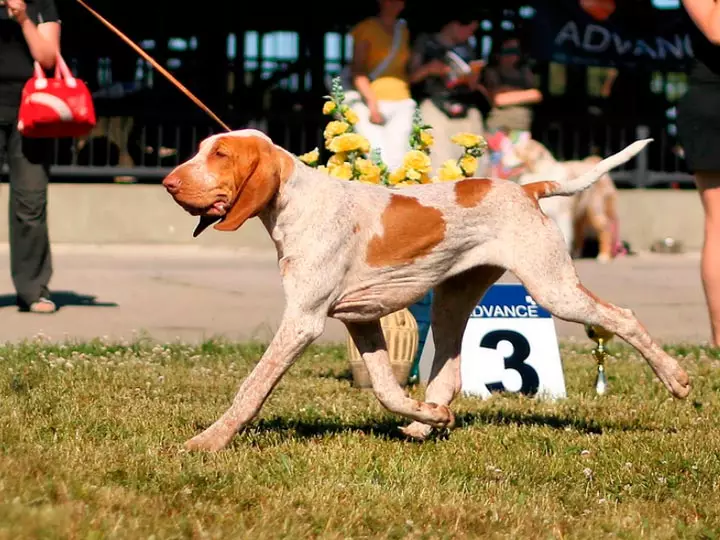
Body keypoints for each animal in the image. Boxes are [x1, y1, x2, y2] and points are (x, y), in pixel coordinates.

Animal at [160, 131, 688, 452]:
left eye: (221, 155)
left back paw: (676, 378)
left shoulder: (303, 321)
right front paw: (428, 416)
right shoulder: (361, 319)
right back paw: (425, 422)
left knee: (622, 316)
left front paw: (211, 440)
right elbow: (388, 390)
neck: (299, 204)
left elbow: (252, 387)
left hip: (554, 288)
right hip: (455, 300)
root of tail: (527, 189)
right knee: (449, 374)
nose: (168, 182)